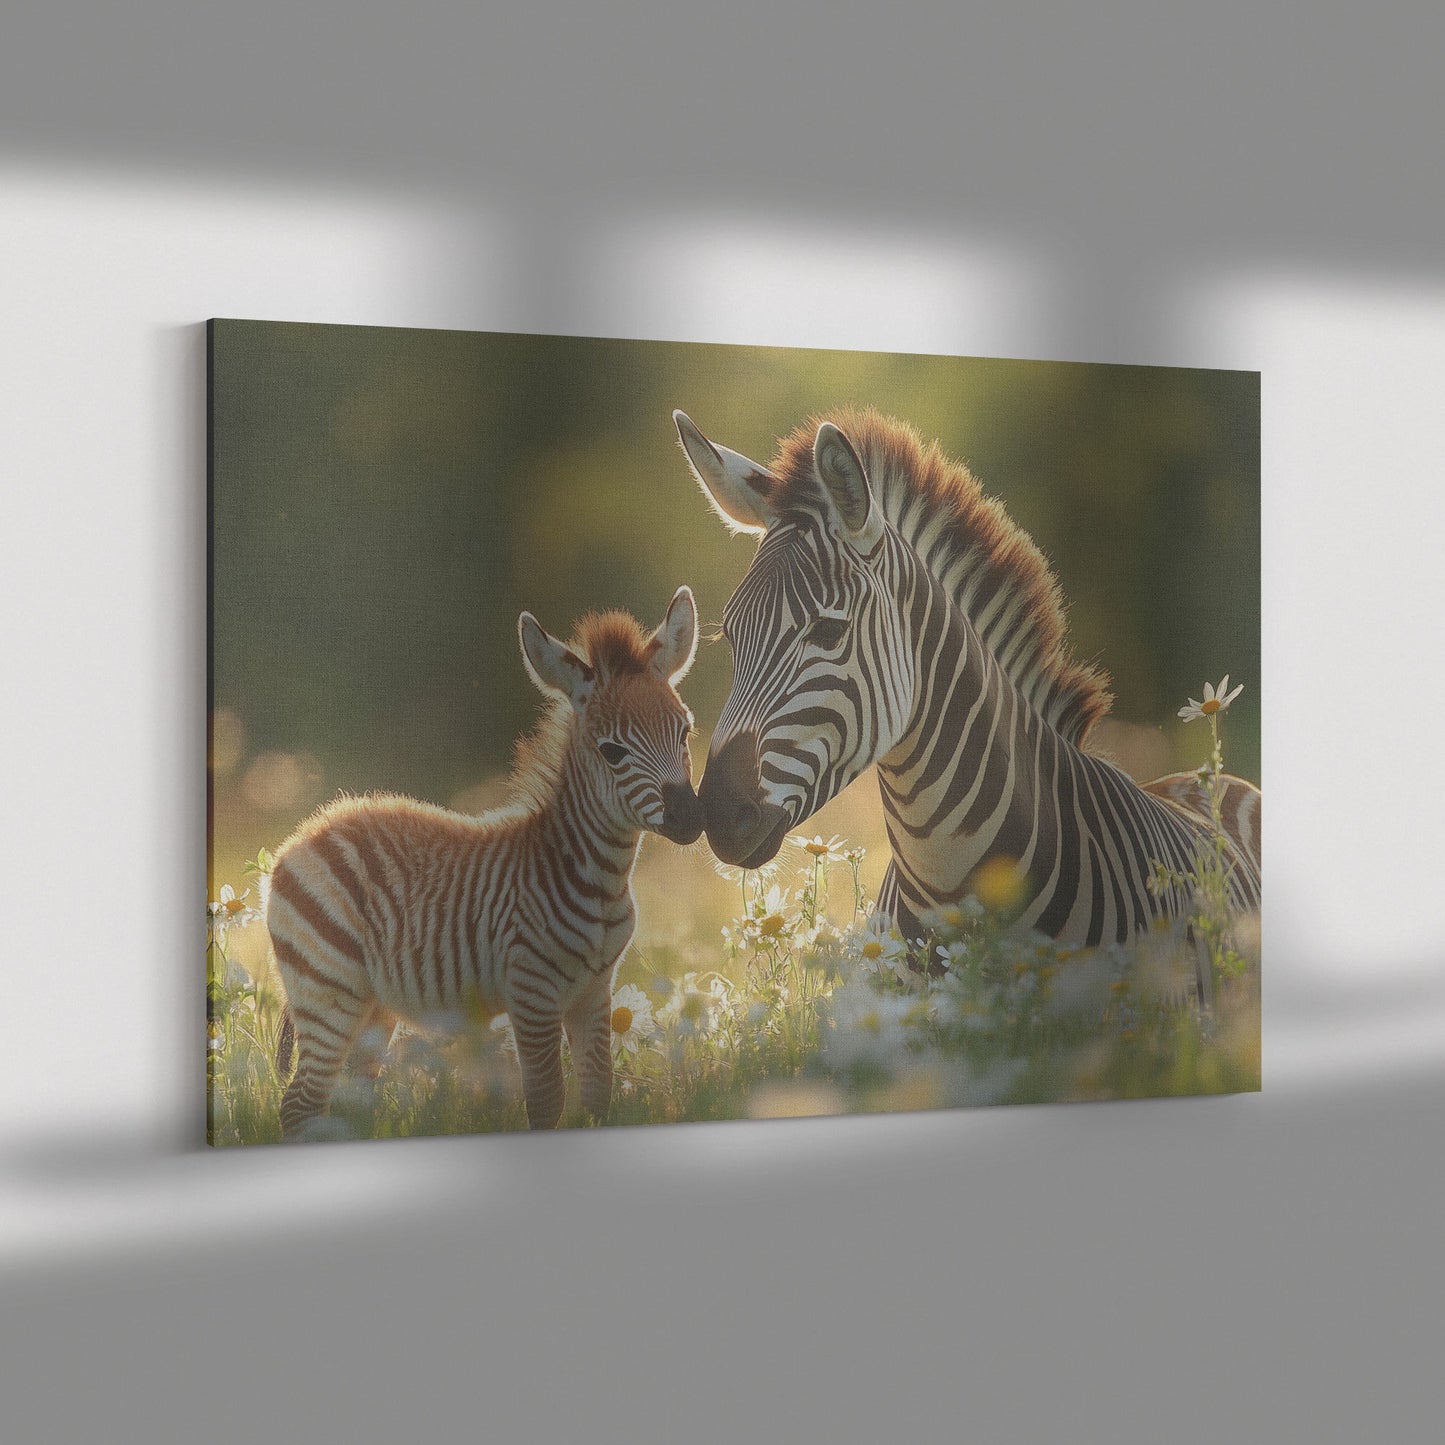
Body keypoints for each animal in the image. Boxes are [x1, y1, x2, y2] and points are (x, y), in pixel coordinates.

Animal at [266, 587, 702, 1137]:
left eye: (685, 733)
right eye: (612, 751)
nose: (691, 819)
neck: (600, 879)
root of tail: (303, 835)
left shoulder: (594, 992)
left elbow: (598, 1095)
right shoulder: (530, 994)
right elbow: (546, 1100)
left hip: (372, 1007)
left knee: (347, 1102)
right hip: (329, 988)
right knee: (300, 1102)